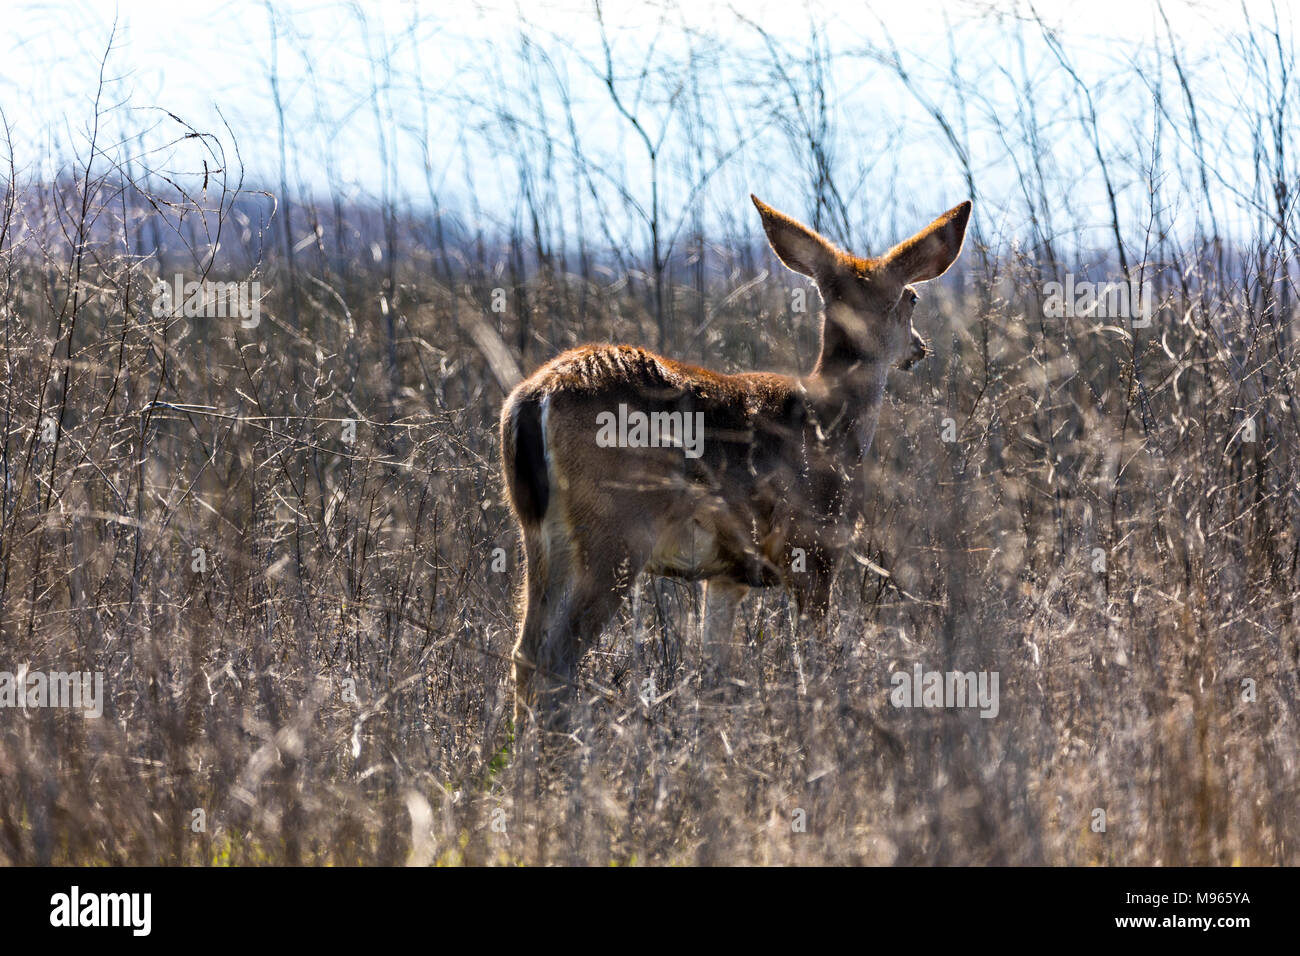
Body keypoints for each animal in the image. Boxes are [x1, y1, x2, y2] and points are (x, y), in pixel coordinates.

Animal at [499, 194, 971, 727]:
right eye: (913, 298)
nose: (920, 348)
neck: (833, 421)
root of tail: (532, 398)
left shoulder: (726, 576)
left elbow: (715, 674)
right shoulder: (812, 546)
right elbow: (813, 662)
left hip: (537, 534)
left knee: (525, 651)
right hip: (614, 533)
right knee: (557, 655)